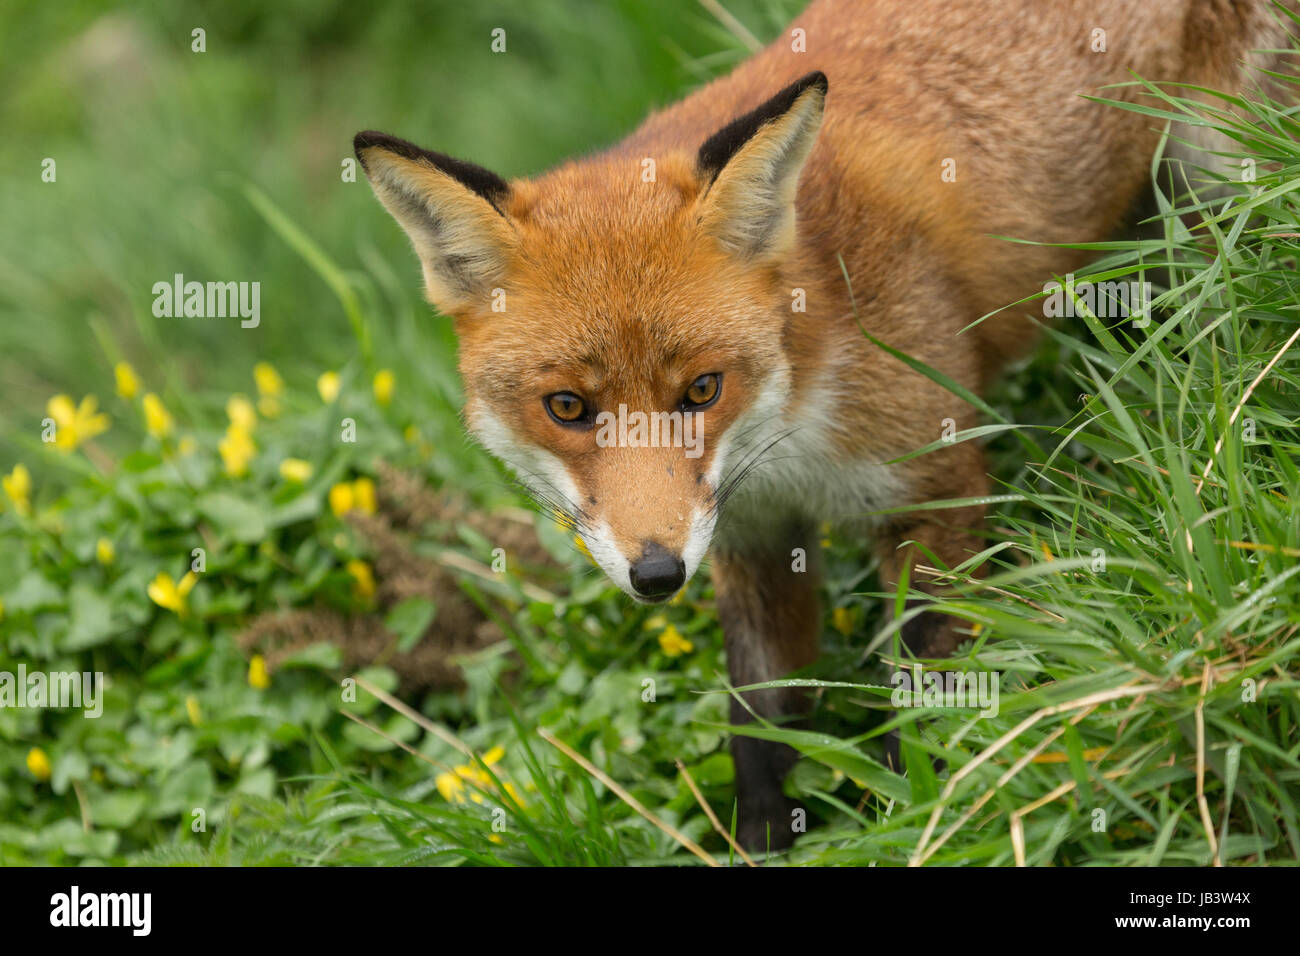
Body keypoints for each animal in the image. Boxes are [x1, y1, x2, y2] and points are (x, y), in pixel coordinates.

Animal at [355, 0, 1296, 850]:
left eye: (702, 389)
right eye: (567, 408)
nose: (656, 575)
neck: (792, 422)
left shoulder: (932, 488)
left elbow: (929, 700)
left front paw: (926, 817)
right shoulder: (748, 538)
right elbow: (762, 732)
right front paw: (765, 843)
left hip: (1222, 176)